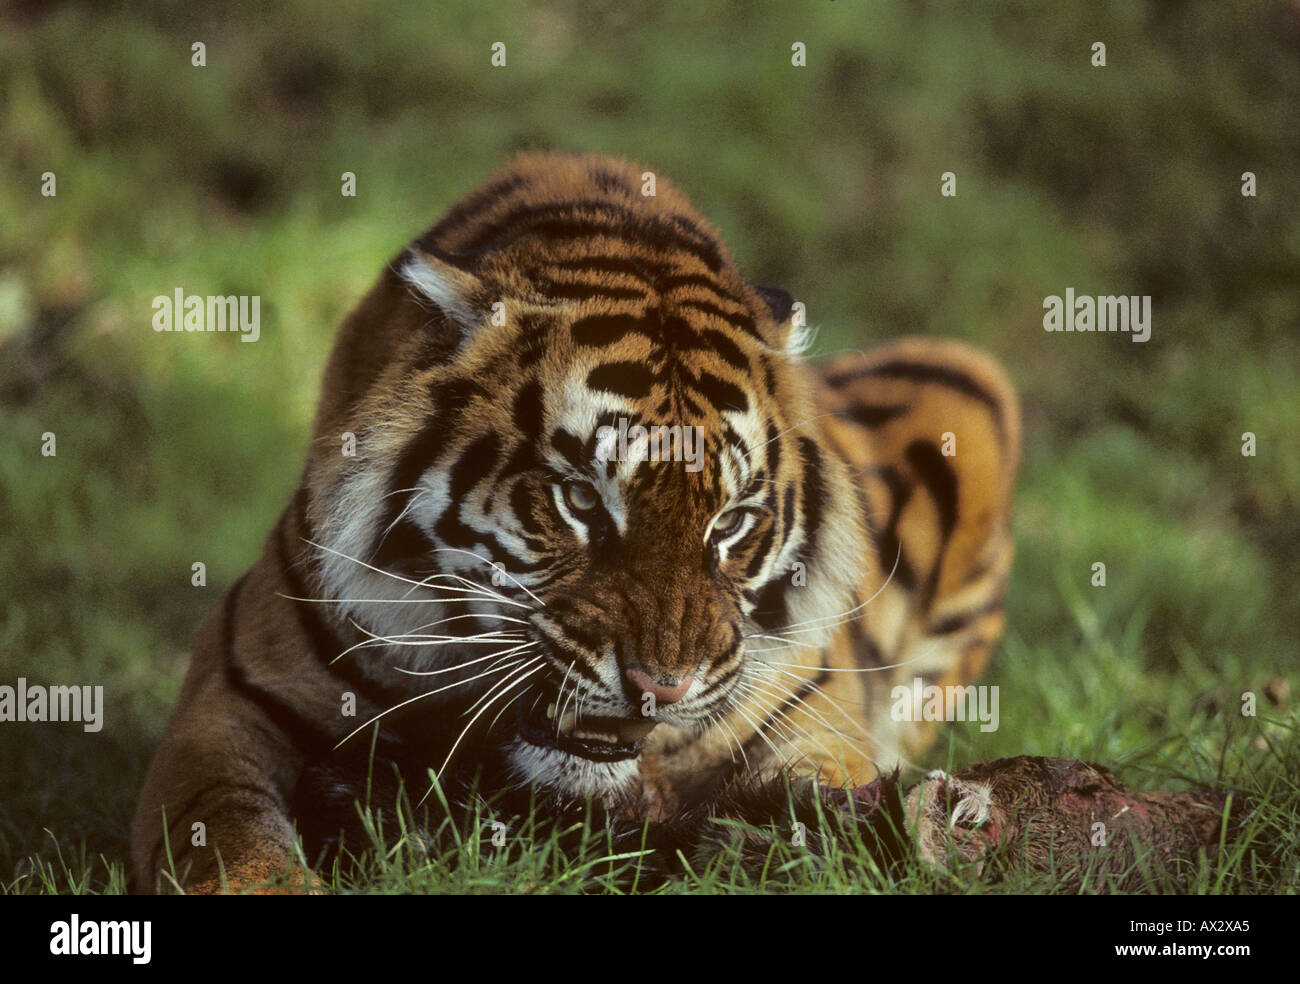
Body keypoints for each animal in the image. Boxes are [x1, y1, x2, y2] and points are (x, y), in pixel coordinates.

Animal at [130, 151, 1020, 892]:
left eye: (730, 522)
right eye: (582, 500)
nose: (661, 688)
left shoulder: (808, 718)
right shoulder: (229, 703)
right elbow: (234, 840)